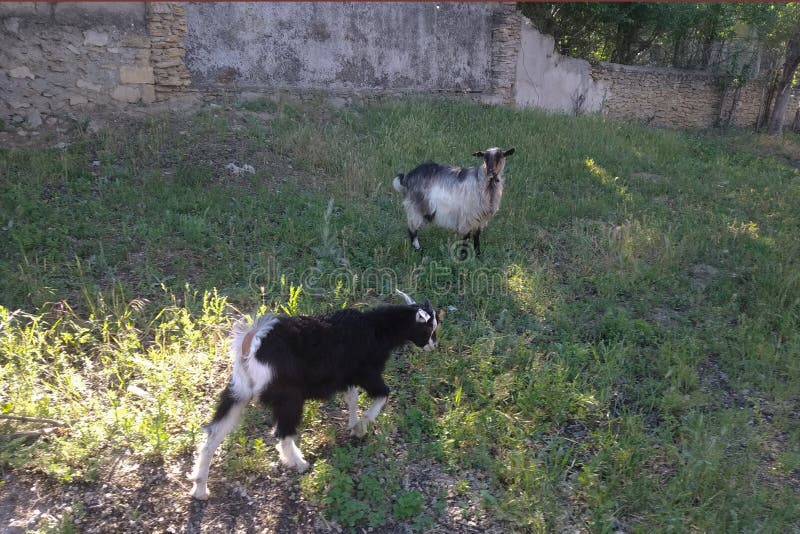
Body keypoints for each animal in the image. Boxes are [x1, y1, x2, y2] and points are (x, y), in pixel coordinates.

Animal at [189, 290, 442, 500]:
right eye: (428, 329)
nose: (433, 346)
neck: (376, 329)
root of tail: (253, 341)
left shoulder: (345, 377)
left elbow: (352, 398)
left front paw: (353, 426)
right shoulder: (367, 373)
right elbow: (384, 395)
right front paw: (363, 424)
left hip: (238, 391)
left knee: (213, 435)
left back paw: (200, 488)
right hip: (289, 397)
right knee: (283, 434)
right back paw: (300, 464)